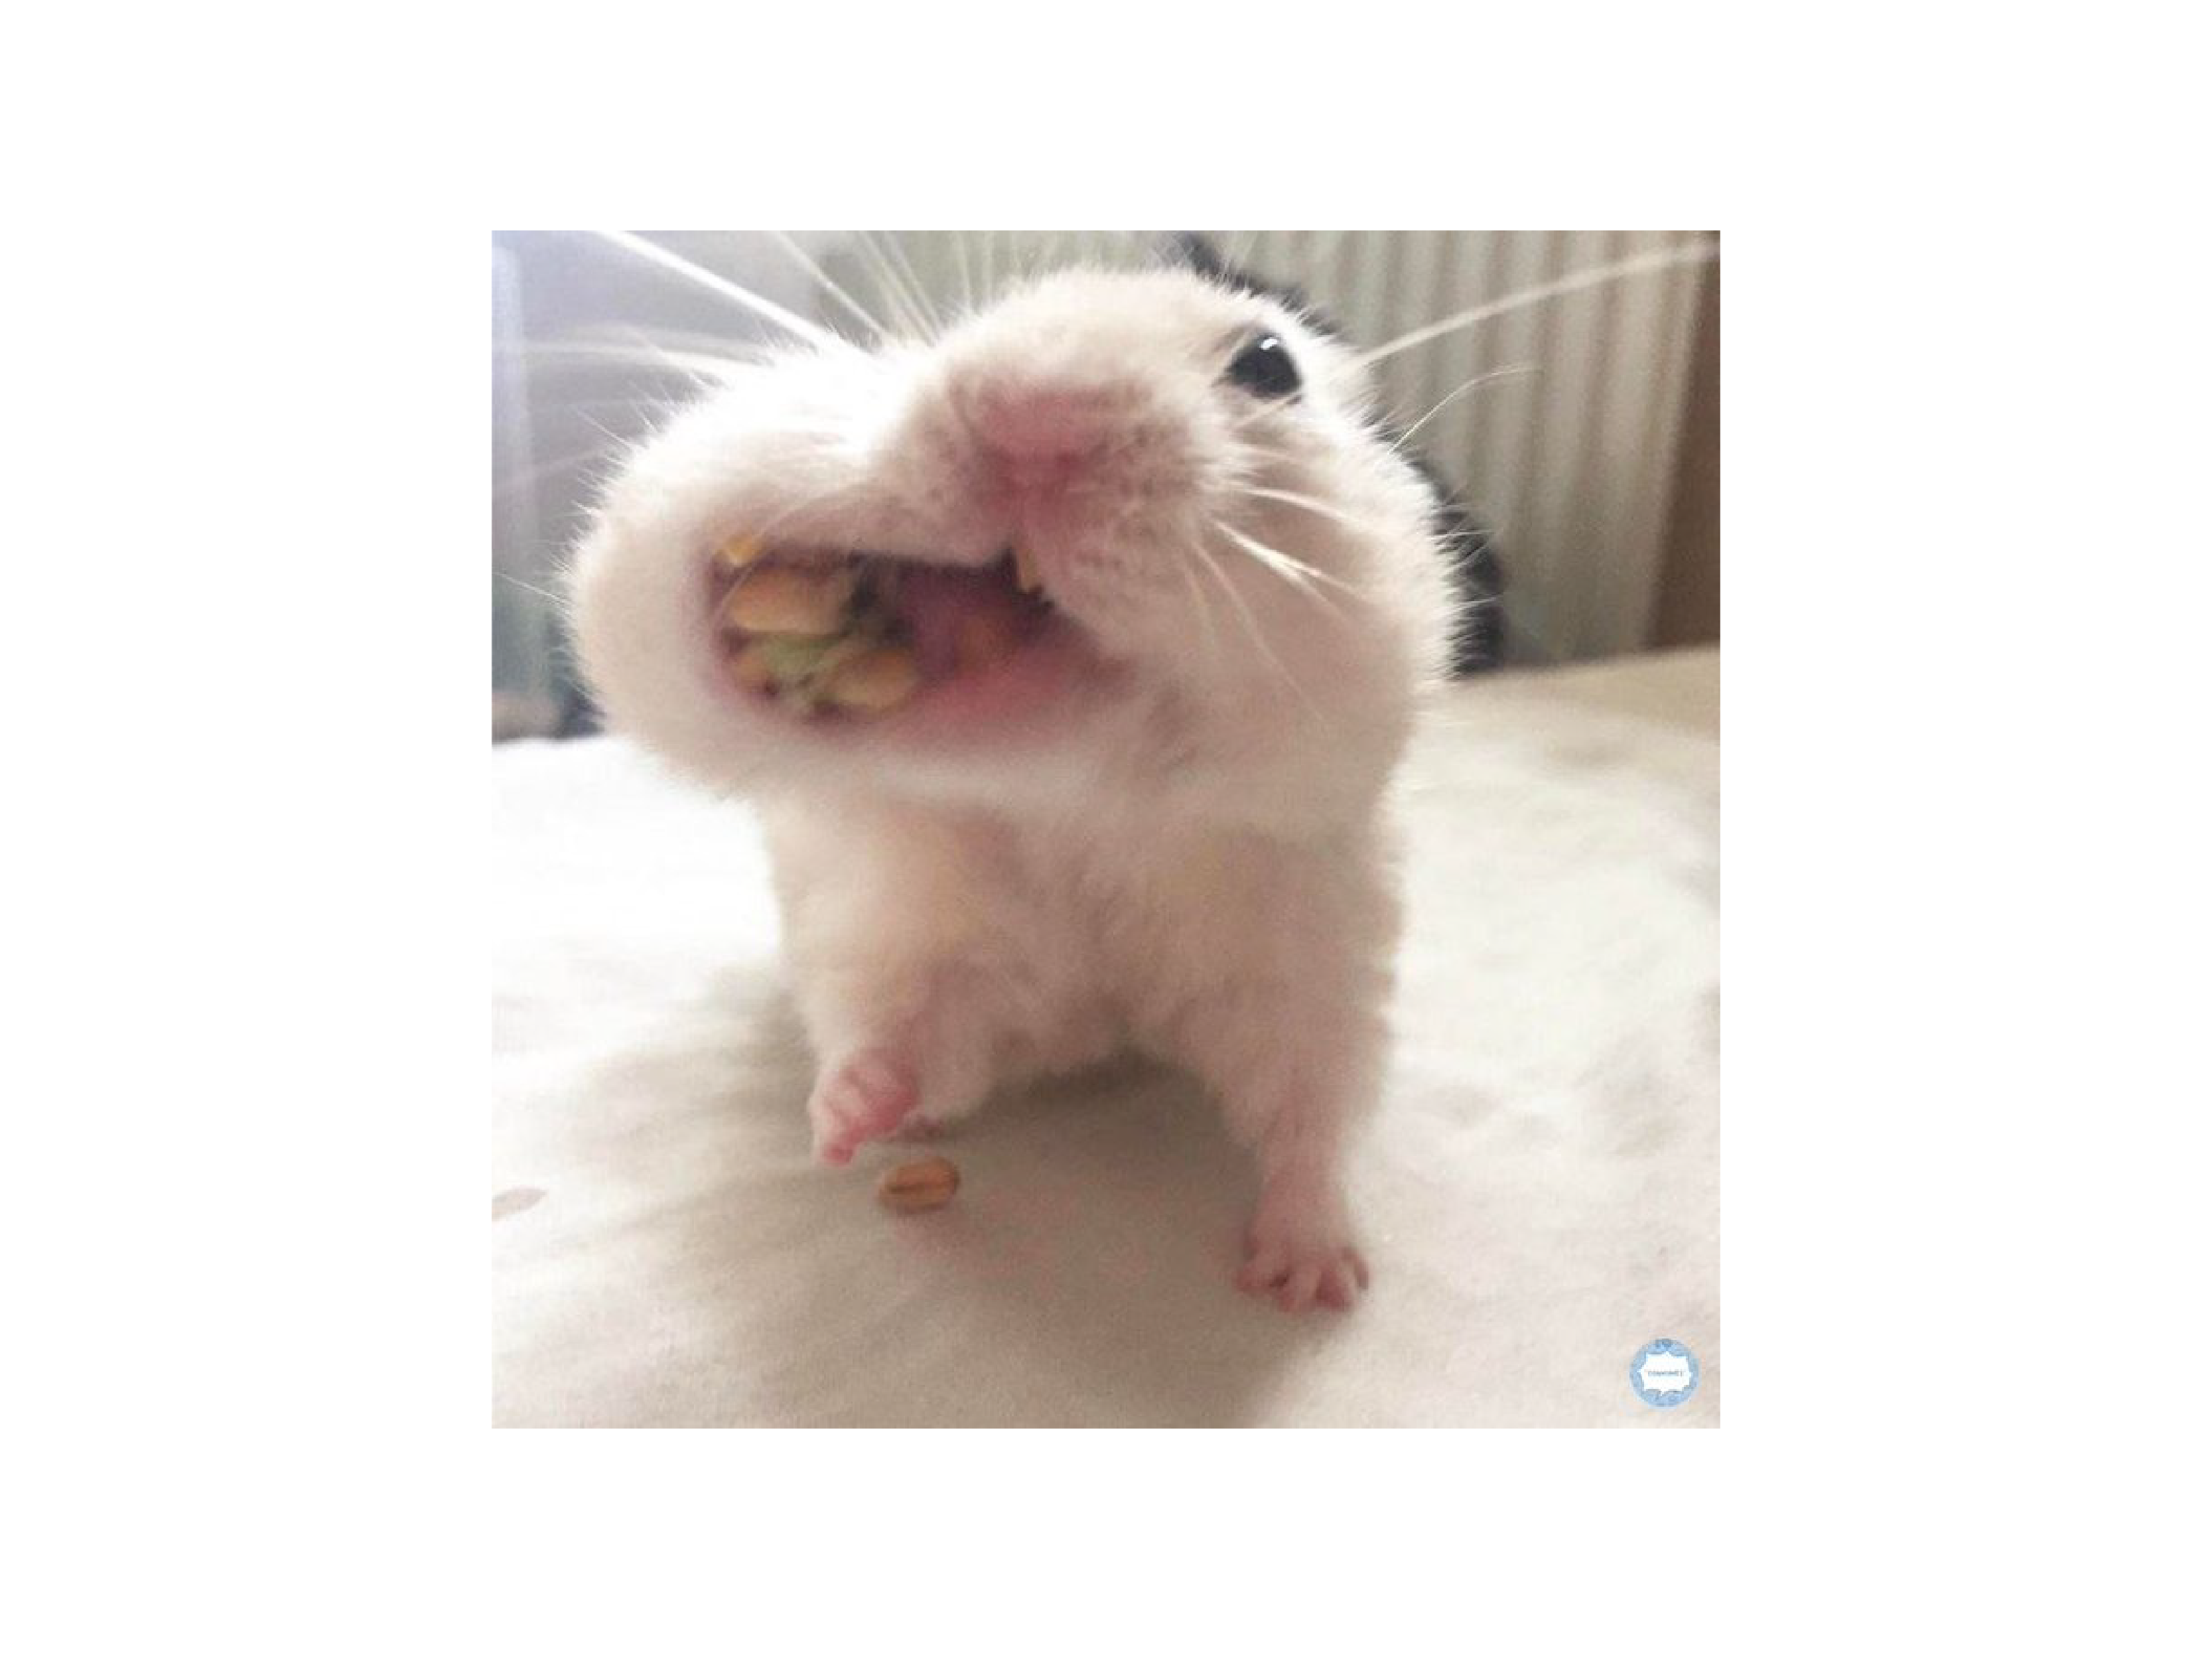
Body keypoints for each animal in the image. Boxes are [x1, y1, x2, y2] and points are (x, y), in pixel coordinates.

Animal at [568, 237, 1466, 1312]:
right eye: (973, 325)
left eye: (1267, 365)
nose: (1027, 418)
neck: (1070, 810)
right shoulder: (911, 947)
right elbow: (905, 1038)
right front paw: (847, 1124)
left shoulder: (1309, 955)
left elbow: (1310, 1109)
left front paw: (1309, 1284)